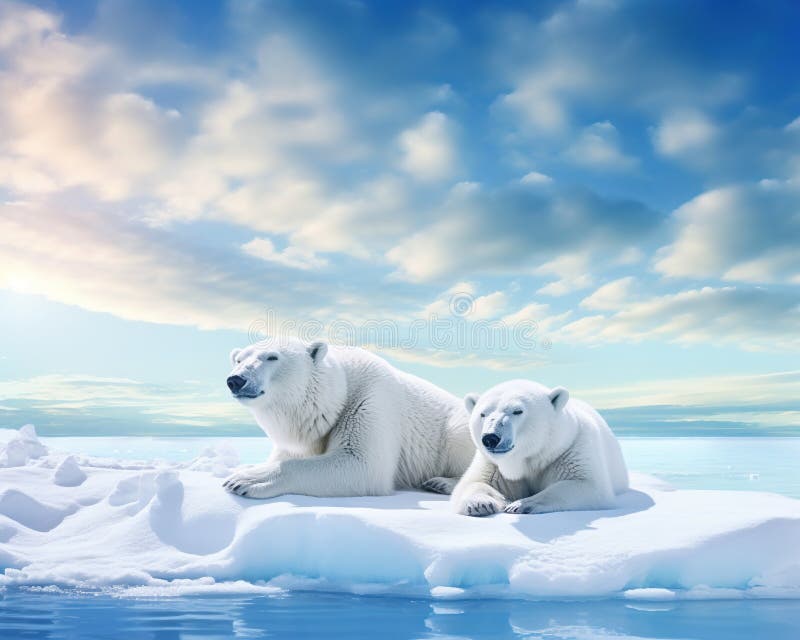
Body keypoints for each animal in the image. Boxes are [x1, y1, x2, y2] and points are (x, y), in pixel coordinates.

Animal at [222, 338, 475, 499]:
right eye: (239, 359)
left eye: (272, 357)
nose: (236, 380)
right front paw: (244, 468)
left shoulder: (370, 400)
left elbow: (362, 463)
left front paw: (244, 480)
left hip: (456, 428)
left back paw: (442, 482)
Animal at [446, 379, 629, 517]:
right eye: (482, 414)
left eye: (517, 411)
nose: (490, 438)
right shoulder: (493, 464)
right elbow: (474, 481)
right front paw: (479, 504)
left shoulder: (571, 449)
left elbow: (588, 485)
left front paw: (521, 504)